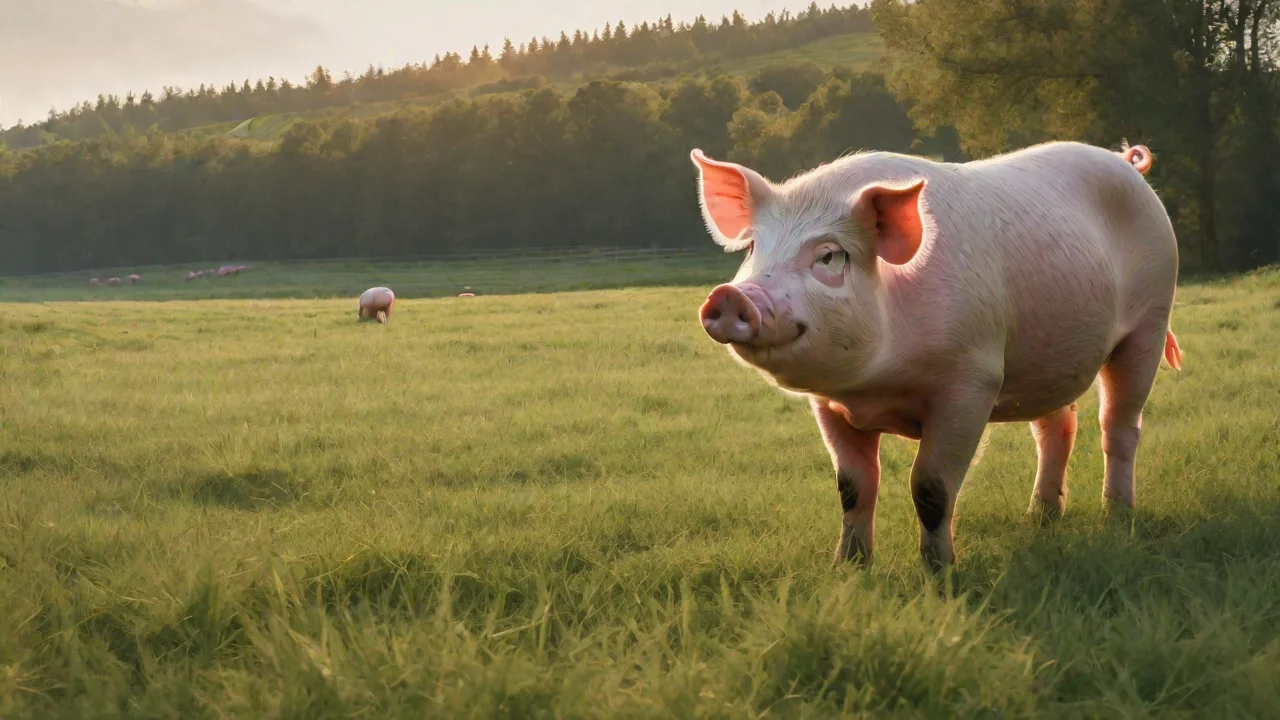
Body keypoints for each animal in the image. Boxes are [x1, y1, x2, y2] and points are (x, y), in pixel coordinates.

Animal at [690, 140, 1182, 571]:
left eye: (829, 256)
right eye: (754, 248)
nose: (732, 295)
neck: (874, 388)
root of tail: (1127, 164)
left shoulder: (971, 381)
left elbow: (931, 488)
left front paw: (940, 573)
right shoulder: (828, 402)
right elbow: (852, 487)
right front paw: (848, 568)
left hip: (1150, 319)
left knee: (1119, 426)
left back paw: (1117, 516)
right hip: (1048, 356)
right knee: (1057, 427)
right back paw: (1039, 518)